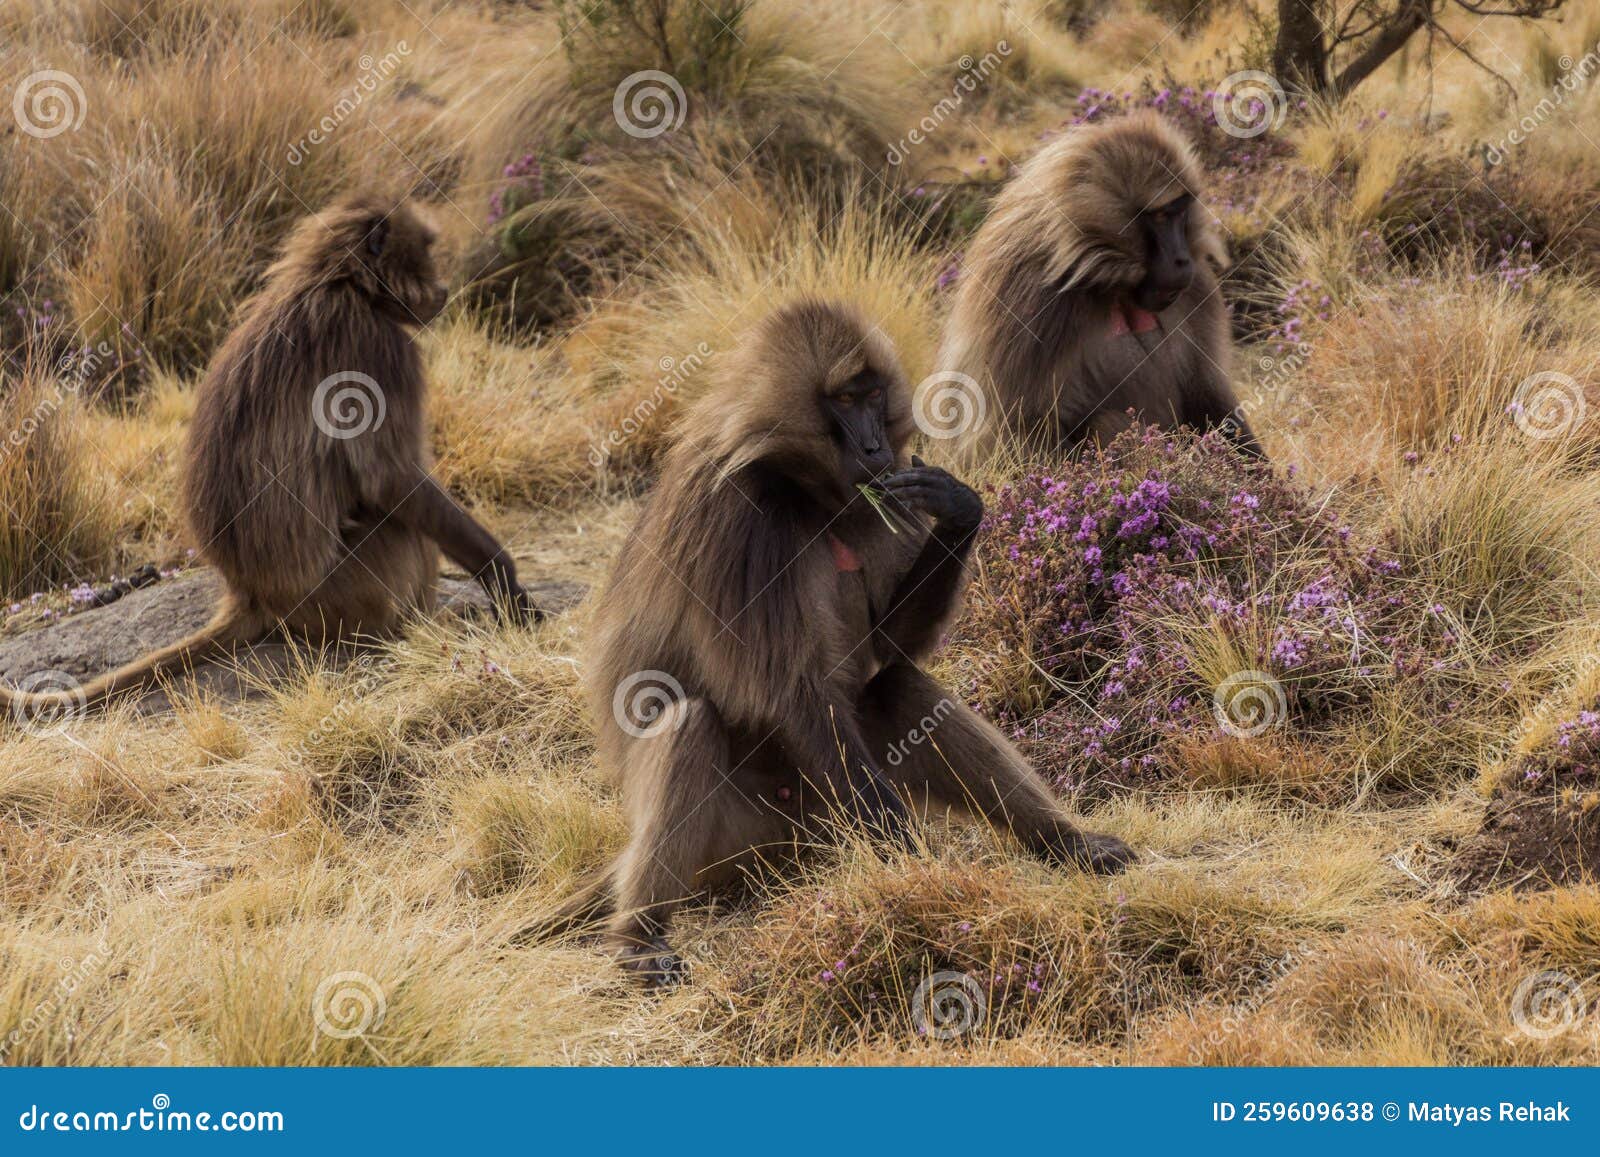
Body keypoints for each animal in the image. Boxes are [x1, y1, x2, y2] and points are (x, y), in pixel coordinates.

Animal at [0, 193, 536, 723]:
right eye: (424, 249)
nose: (443, 290)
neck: (338, 283)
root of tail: (252, 593)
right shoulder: (381, 346)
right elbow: (390, 479)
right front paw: (501, 577)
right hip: (352, 591)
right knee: (404, 529)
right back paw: (429, 621)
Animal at [556, 298, 1134, 985]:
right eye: (843, 400)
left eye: (873, 394)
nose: (875, 444)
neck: (799, 487)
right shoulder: (737, 516)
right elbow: (789, 687)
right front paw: (909, 854)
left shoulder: (876, 501)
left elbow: (891, 645)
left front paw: (958, 508)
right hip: (746, 834)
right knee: (689, 724)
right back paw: (637, 942)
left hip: (817, 822)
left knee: (898, 689)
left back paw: (1066, 843)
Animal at [937, 111, 1263, 461]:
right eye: (1161, 216)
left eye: (1180, 211)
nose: (1182, 260)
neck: (1111, 283)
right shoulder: (1029, 300)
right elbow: (1007, 431)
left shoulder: (1196, 290)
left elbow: (1210, 398)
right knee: (1106, 422)